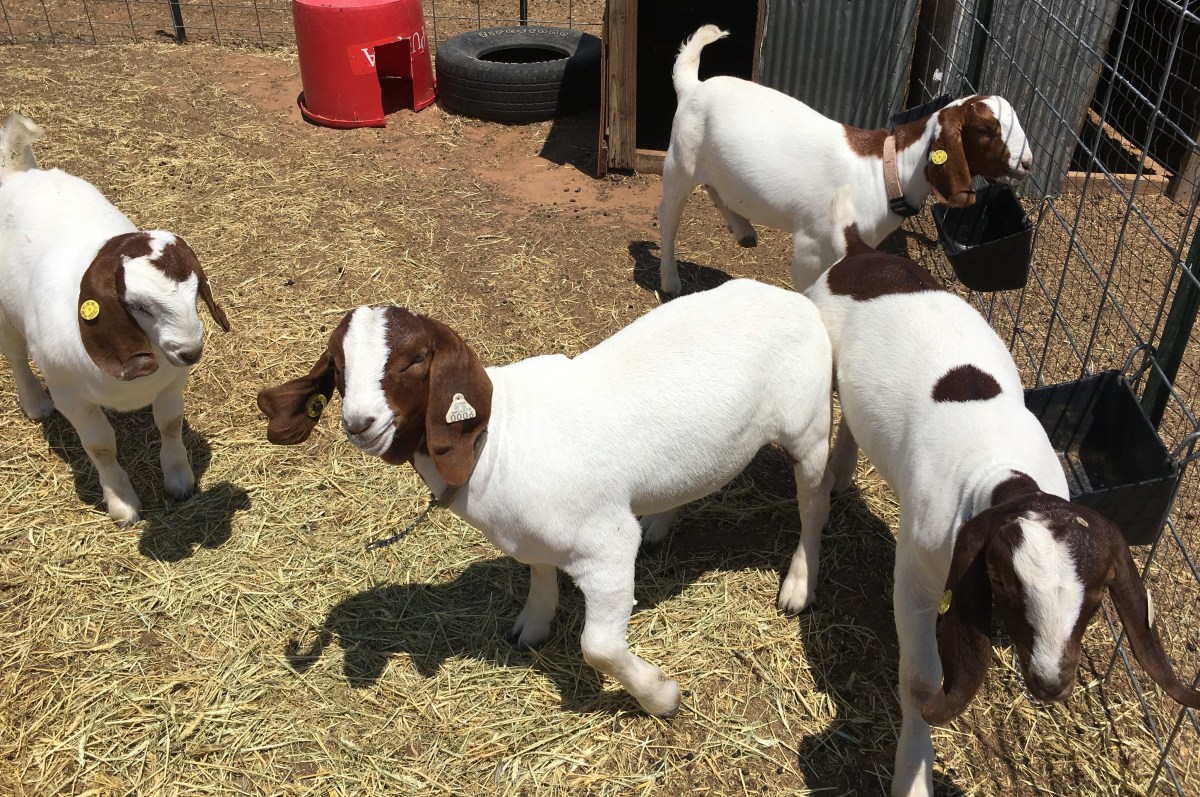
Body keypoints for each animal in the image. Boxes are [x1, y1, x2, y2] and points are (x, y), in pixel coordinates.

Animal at [0, 113, 231, 526]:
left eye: (196, 292)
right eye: (138, 306)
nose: (190, 352)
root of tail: (20, 174)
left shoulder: (172, 382)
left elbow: (170, 423)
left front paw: (179, 480)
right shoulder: (71, 396)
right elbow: (101, 446)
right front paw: (121, 503)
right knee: (13, 353)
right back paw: (35, 403)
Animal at [257, 279, 833, 716]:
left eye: (415, 360)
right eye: (337, 366)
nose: (360, 424)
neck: (496, 442)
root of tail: (792, 298)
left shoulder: (605, 550)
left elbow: (598, 647)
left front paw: (662, 697)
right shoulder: (533, 536)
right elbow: (537, 571)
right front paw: (532, 627)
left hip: (808, 430)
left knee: (813, 505)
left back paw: (797, 587)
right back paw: (659, 524)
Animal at [657, 24, 1032, 296]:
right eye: (984, 129)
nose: (1027, 162)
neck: (885, 172)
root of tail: (693, 86)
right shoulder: (811, 248)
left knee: (716, 188)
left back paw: (743, 230)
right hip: (680, 162)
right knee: (668, 217)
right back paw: (670, 282)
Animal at [797, 186, 1200, 797]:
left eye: (1098, 596)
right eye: (1004, 582)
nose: (1052, 681)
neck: (1001, 474)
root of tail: (861, 253)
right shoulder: (919, 572)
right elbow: (922, 681)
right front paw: (914, 773)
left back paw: (844, 471)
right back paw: (802, 572)